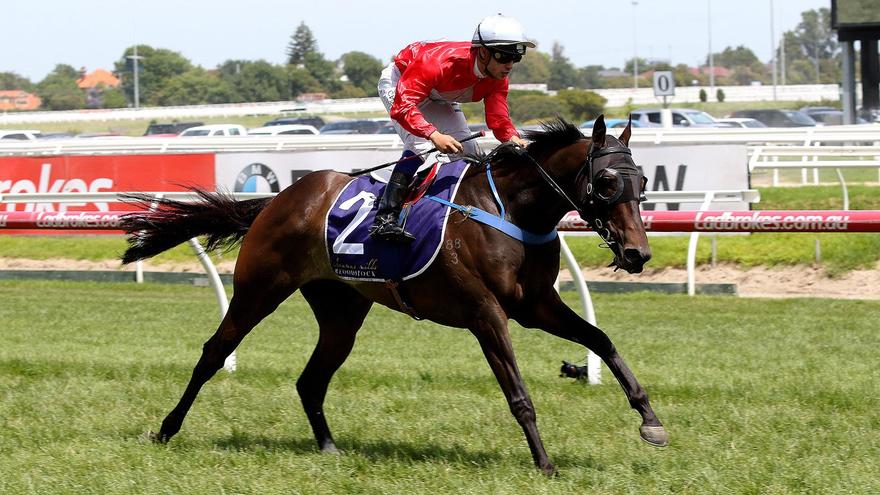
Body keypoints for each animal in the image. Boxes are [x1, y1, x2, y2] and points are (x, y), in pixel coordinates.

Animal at [120, 116, 667, 475]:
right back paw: (166, 429)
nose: (637, 253)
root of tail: (277, 200)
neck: (511, 209)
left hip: (341, 312)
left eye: (642, 180)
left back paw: (329, 448)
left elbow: (601, 341)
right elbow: (518, 393)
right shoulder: (486, 314)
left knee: (310, 380)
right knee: (214, 353)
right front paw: (545, 462)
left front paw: (651, 421)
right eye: (606, 180)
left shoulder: (536, 306)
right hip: (259, 289)